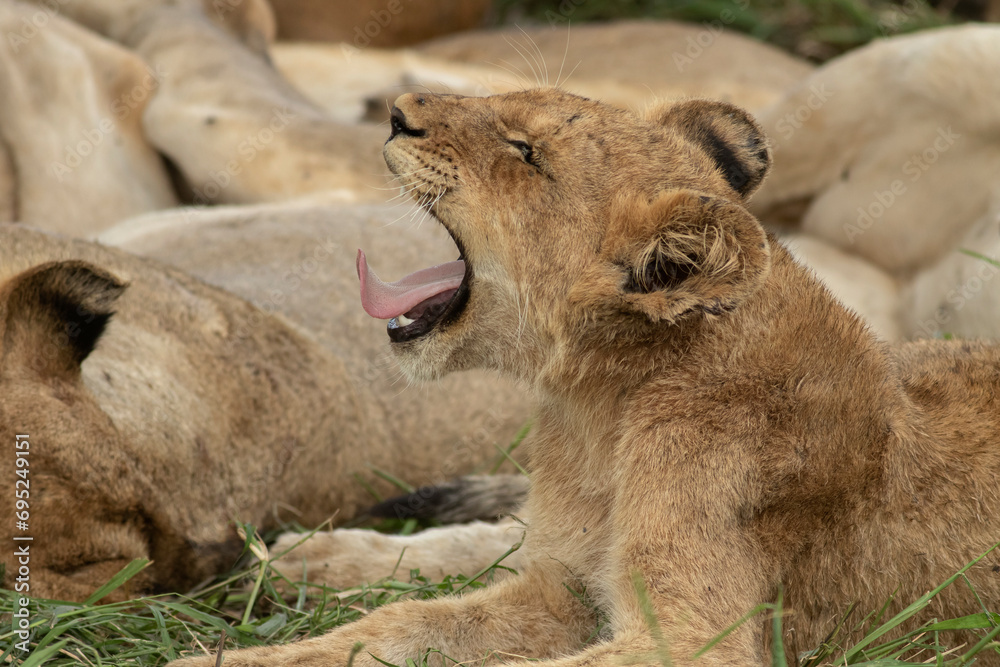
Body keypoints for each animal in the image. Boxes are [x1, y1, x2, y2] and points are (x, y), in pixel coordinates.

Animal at [170, 89, 1000, 667]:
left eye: (523, 150)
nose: (398, 113)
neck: (598, 413)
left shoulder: (691, 640)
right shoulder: (559, 588)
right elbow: (404, 621)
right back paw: (311, 556)